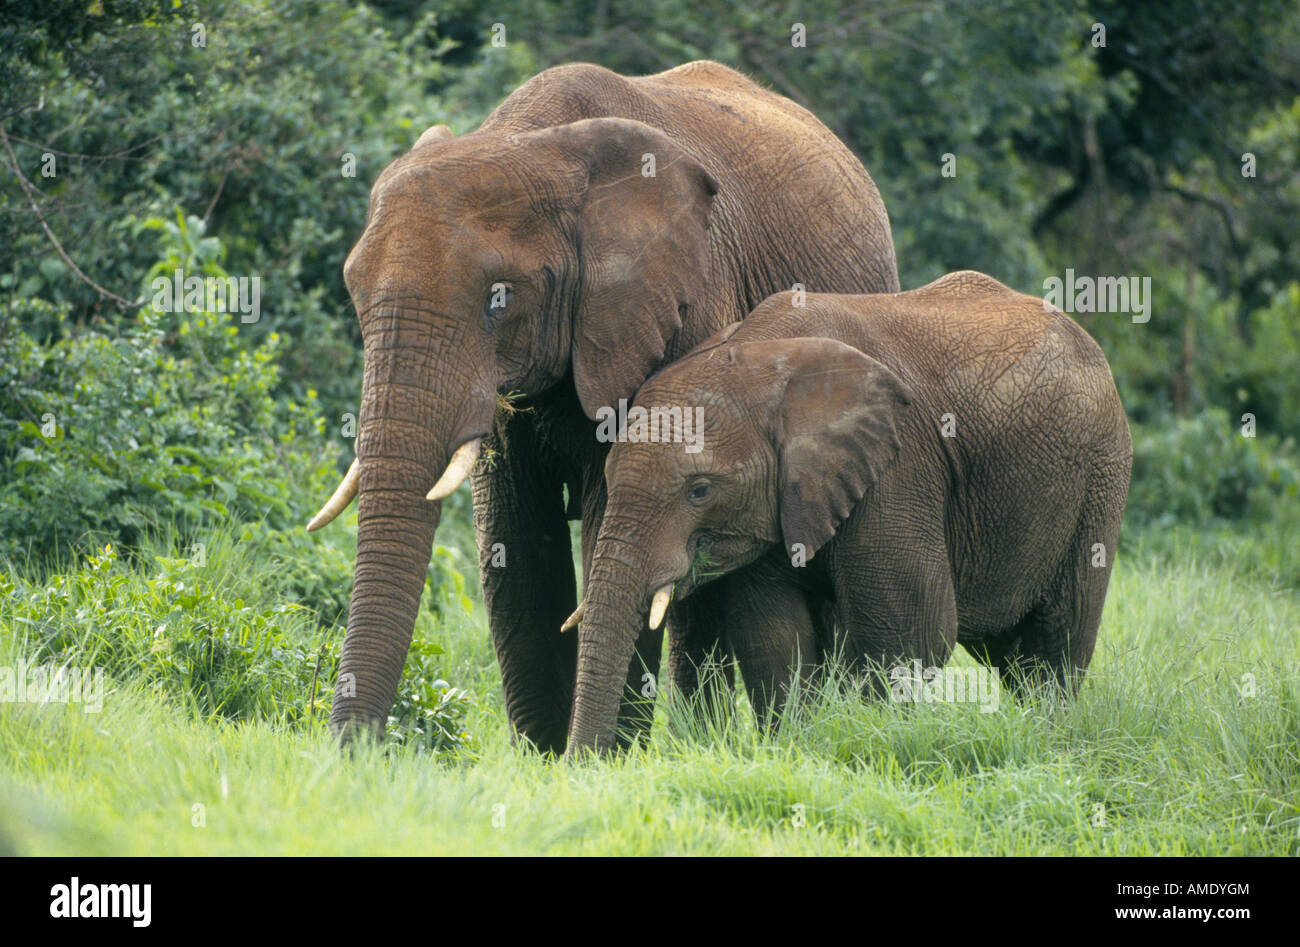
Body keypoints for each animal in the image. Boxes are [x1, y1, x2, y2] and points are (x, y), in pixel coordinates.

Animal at [304, 60, 900, 752]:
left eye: (499, 299)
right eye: (352, 289)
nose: (352, 756)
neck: (532, 144)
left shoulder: (682, 310)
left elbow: (613, 528)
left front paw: (600, 761)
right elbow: (514, 548)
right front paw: (543, 759)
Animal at [563, 271, 1133, 756]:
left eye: (700, 490)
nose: (580, 768)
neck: (760, 356)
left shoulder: (898, 467)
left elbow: (911, 629)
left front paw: (872, 742)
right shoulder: (778, 502)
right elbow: (775, 635)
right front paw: (796, 749)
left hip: (1101, 475)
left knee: (1055, 641)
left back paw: (1054, 742)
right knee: (1011, 651)